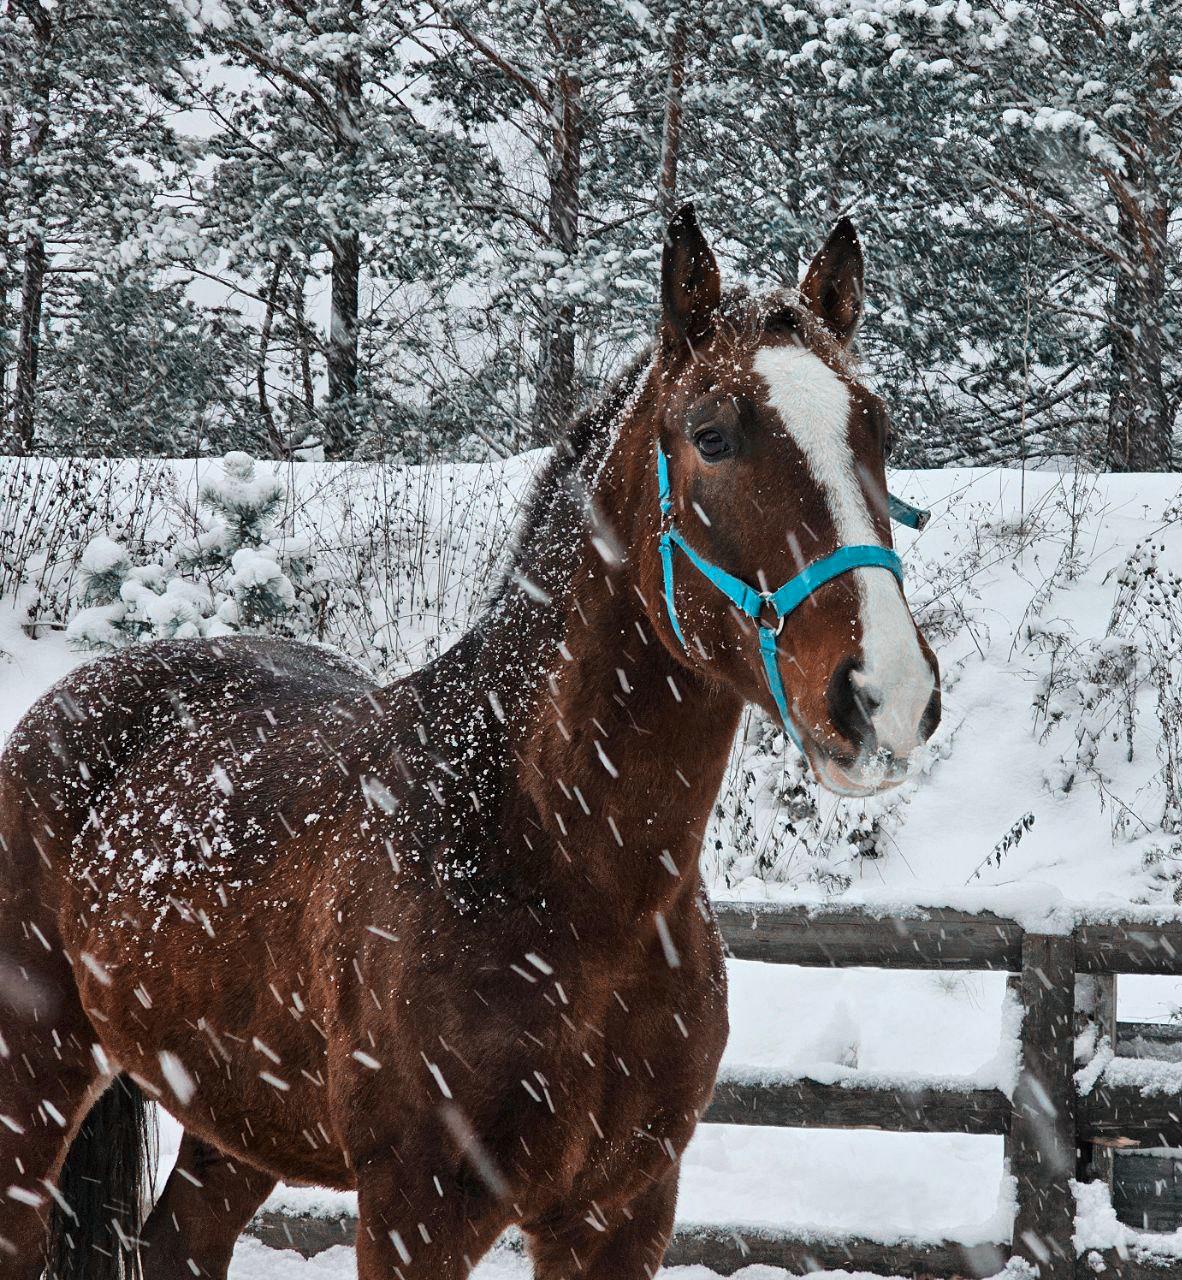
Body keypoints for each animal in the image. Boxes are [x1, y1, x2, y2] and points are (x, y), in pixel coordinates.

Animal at [0, 204, 942, 1274]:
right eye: (713, 436)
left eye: (877, 428)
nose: (886, 696)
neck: (555, 861)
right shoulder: (416, 1214)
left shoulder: (623, 1210)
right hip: (33, 1086)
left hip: (232, 1123)